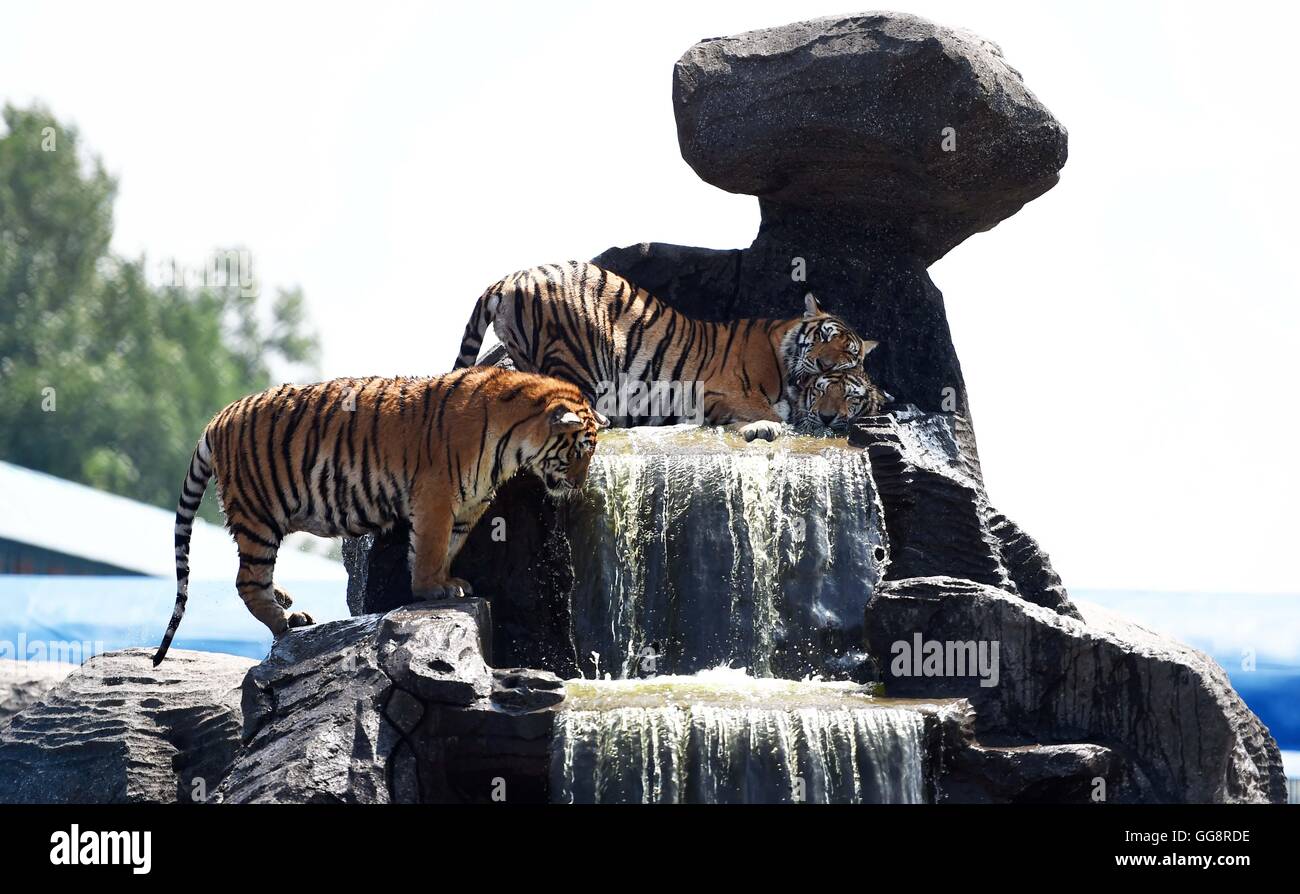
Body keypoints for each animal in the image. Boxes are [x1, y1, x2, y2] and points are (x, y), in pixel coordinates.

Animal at [152, 366, 607, 664]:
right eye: (581, 450)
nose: (580, 483)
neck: (512, 445)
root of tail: (219, 417)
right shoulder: (436, 493)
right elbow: (430, 546)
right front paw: (432, 590)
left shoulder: (469, 503)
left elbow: (447, 547)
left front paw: (447, 582)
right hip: (258, 514)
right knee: (247, 580)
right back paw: (285, 623)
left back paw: (285, 603)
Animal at [453, 261, 875, 442]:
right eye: (823, 337)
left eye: (849, 354)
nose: (823, 363)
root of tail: (510, 278)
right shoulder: (726, 388)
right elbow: (763, 412)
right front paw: (768, 426)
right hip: (577, 352)